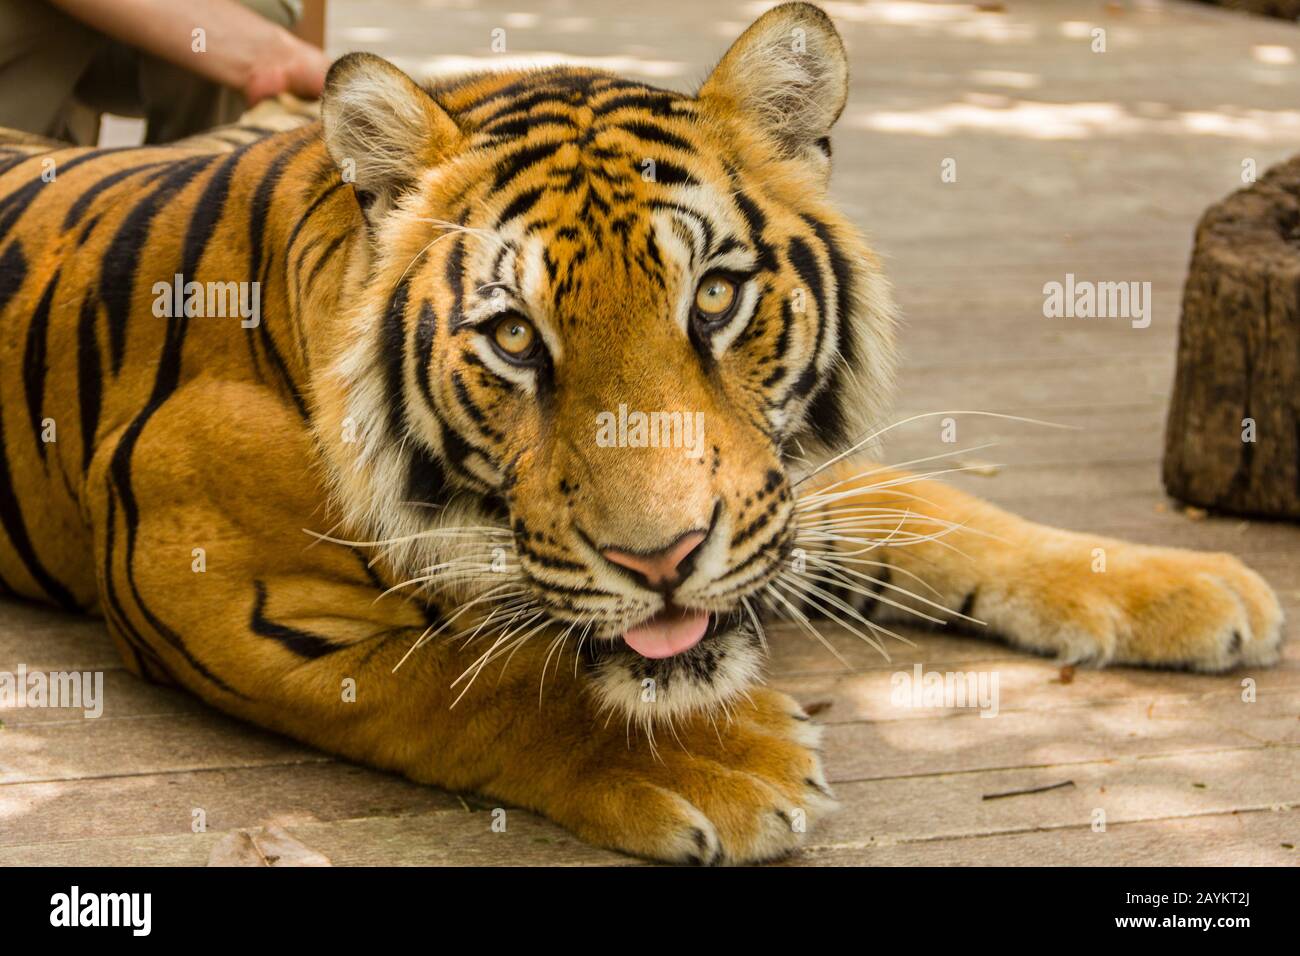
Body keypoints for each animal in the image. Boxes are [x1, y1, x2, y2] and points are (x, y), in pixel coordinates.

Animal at [0, 2, 1283, 864]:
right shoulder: (209, 582)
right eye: (514, 337)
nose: (661, 560)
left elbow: (944, 512)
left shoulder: (776, 496)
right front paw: (727, 763)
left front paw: (1195, 583)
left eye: (712, 297)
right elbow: (478, 681)